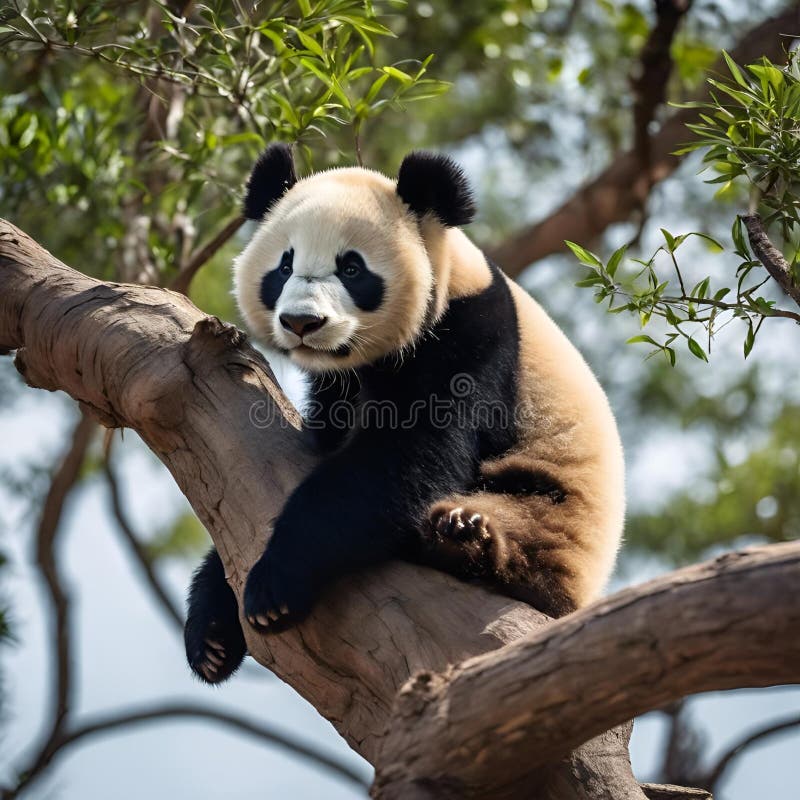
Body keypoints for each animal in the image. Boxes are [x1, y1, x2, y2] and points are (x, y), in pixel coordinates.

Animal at [184, 144, 625, 684]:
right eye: (284, 267)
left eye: (352, 269)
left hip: (558, 514)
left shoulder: (469, 338)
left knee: (522, 527)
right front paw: (212, 629)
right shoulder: (337, 387)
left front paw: (273, 587)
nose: (302, 322)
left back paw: (464, 537)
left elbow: (406, 461)